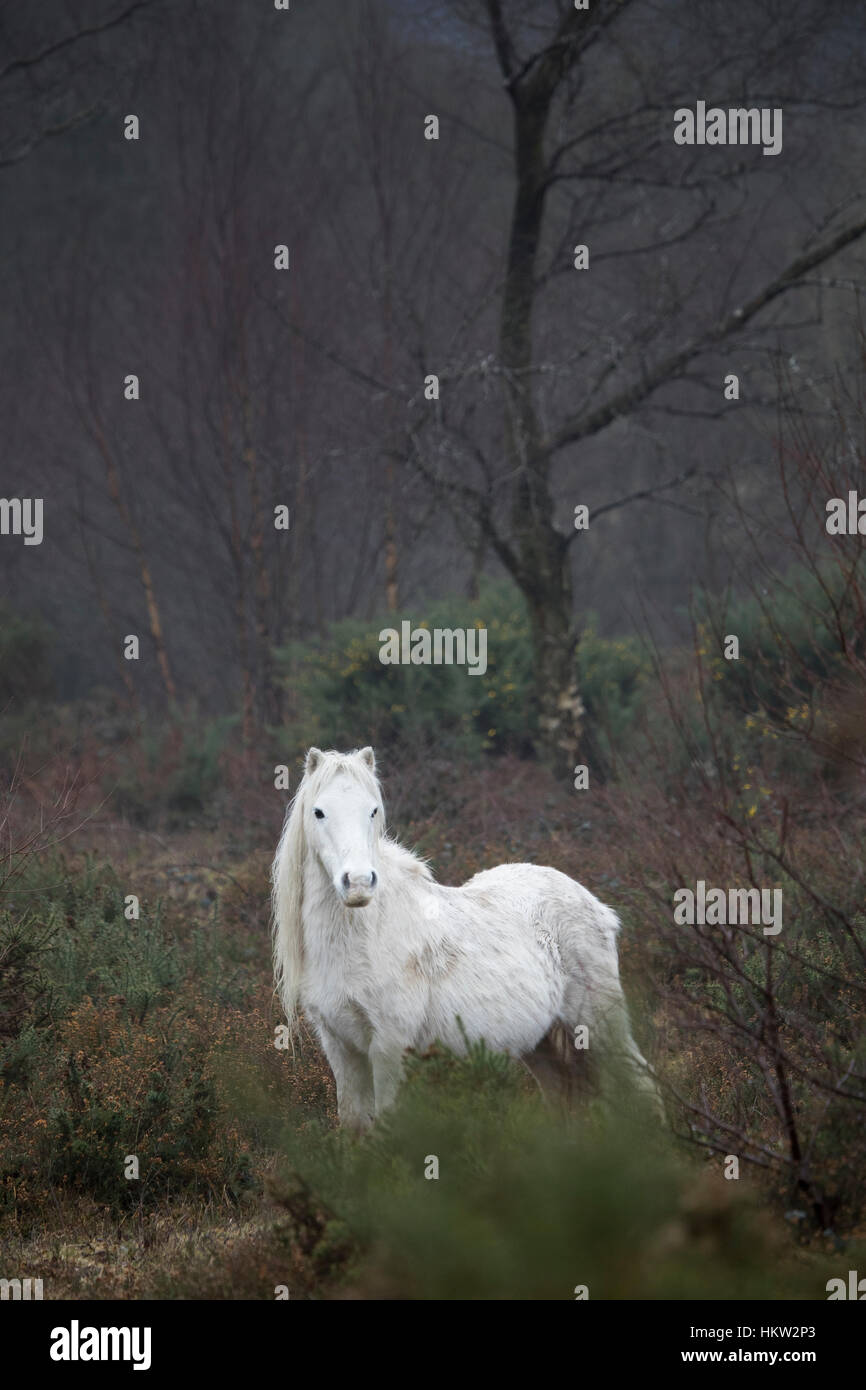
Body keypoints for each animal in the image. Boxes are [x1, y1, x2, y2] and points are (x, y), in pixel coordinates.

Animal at [271, 745, 662, 1130]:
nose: (358, 884)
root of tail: (595, 904)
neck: (362, 936)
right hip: (543, 1045)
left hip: (599, 1023)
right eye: (319, 812)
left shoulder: (389, 1047)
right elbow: (355, 1123)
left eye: (373, 810)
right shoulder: (341, 1047)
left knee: (643, 1084)